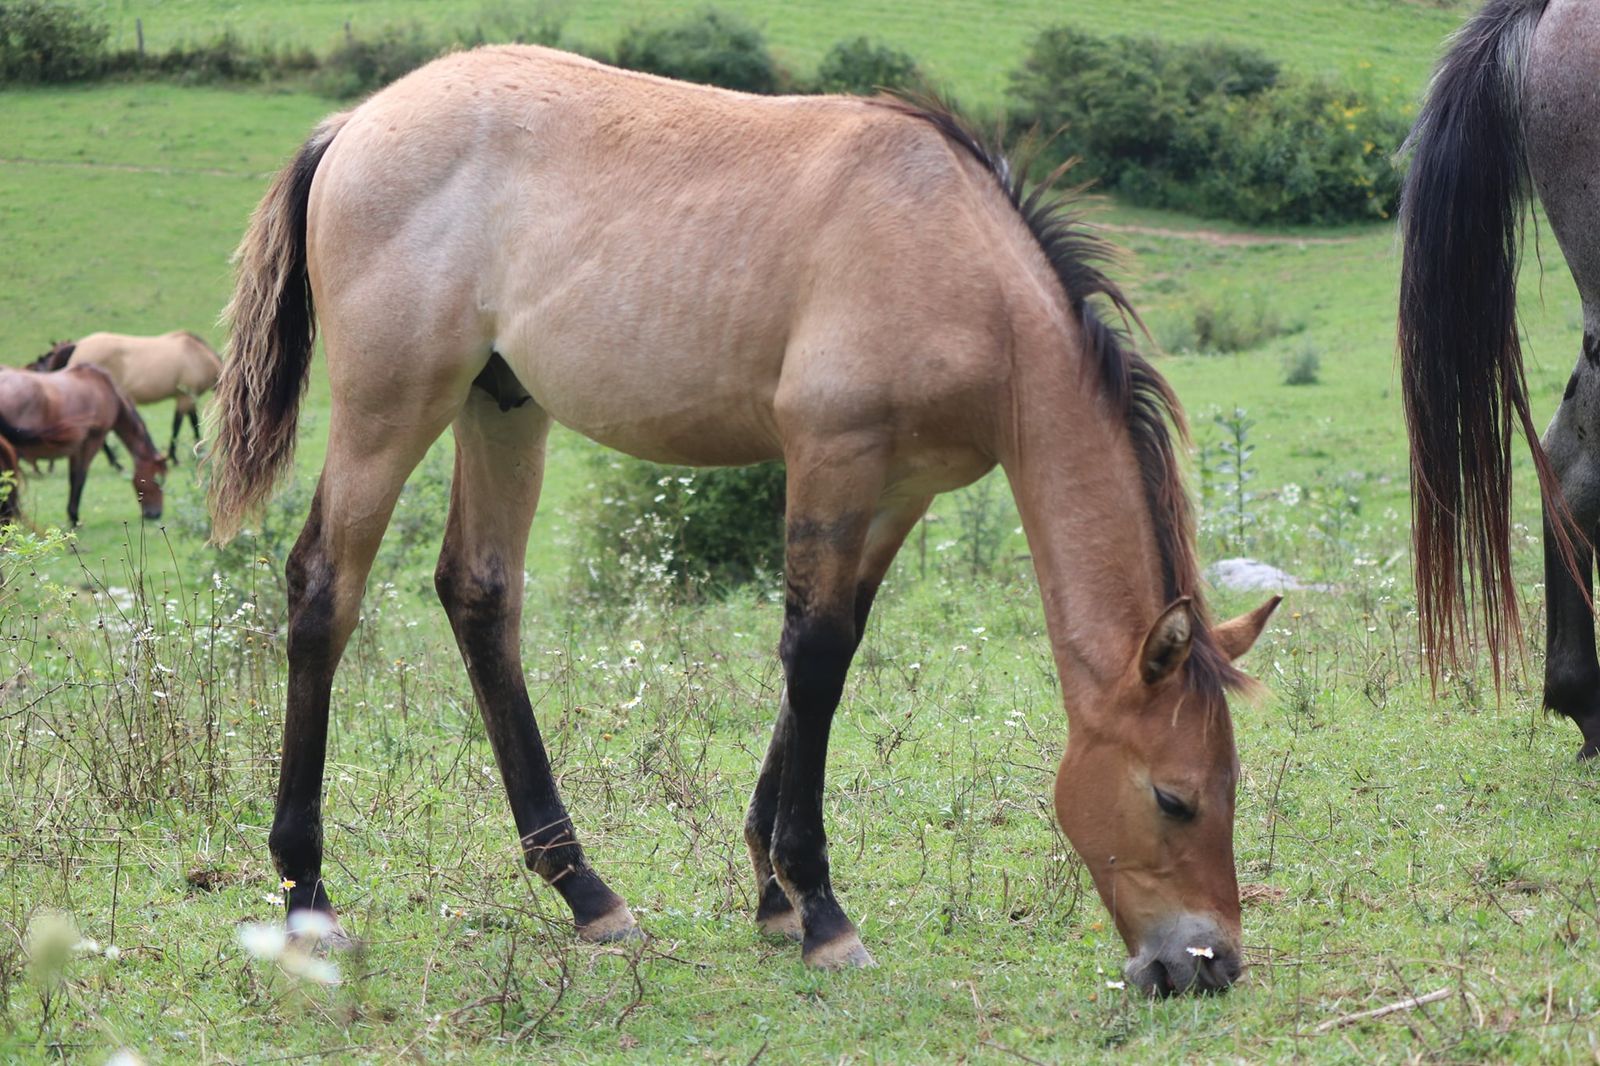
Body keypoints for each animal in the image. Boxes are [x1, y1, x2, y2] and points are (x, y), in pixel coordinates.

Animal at [0, 365, 167, 525]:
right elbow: (80, 478)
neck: (104, 389)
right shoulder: (92, 442)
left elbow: (73, 477)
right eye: (158, 479)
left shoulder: (76, 448)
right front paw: (74, 518)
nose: (156, 514)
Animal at [39, 332, 223, 462]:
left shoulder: (188, 398)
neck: (197, 355)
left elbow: (192, 423)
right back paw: (115, 463)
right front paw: (176, 457)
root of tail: (78, 346)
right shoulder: (185, 397)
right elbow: (179, 426)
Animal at [209, 45, 1279, 995]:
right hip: (391, 407)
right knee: (323, 589)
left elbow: (833, 654)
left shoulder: (903, 488)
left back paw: (585, 891)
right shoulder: (833, 459)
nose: (1207, 966)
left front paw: (773, 893)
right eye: (1173, 797)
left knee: (479, 595)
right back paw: (307, 893)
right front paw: (823, 914)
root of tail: (356, 122)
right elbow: (812, 655)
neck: (952, 258)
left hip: (500, 404)